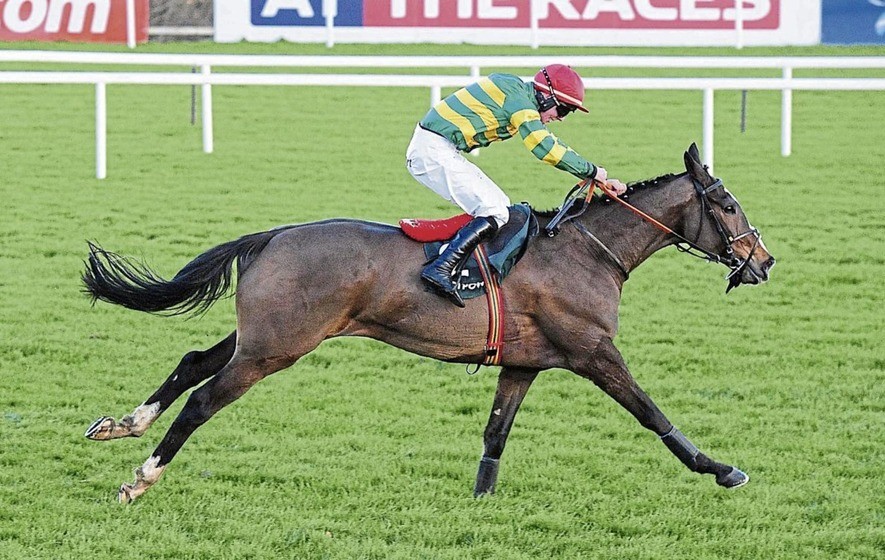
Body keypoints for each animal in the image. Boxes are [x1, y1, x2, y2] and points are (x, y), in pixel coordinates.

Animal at [82, 143, 775, 503]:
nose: (763, 261)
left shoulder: (524, 363)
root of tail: (273, 234)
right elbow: (653, 413)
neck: (585, 251)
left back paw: (122, 424)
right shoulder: (592, 351)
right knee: (202, 400)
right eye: (728, 205)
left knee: (193, 360)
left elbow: (496, 432)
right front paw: (722, 469)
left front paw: (482, 500)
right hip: (275, 348)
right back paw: (140, 479)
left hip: (262, 335)